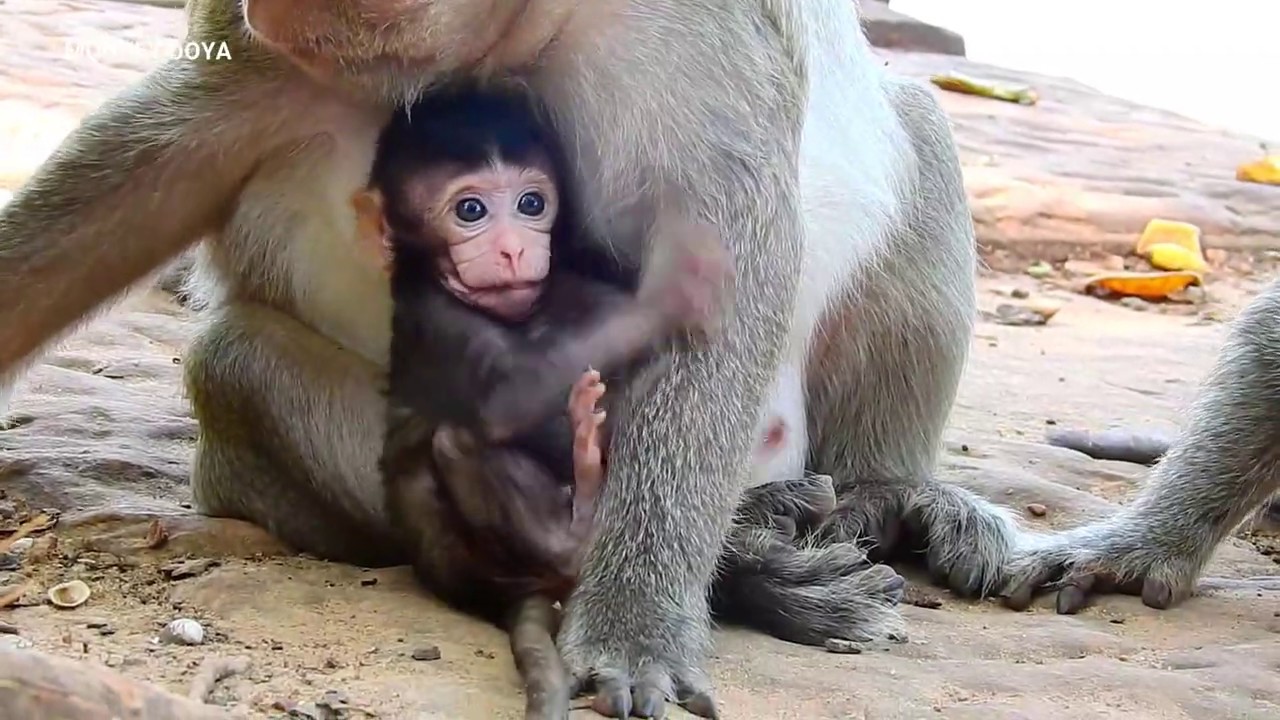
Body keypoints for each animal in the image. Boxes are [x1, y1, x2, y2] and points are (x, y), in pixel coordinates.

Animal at [0, 1, 1047, 716]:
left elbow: (721, 249)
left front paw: (638, 619)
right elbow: (167, 151)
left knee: (918, 123)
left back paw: (881, 496)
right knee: (239, 362)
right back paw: (711, 557)